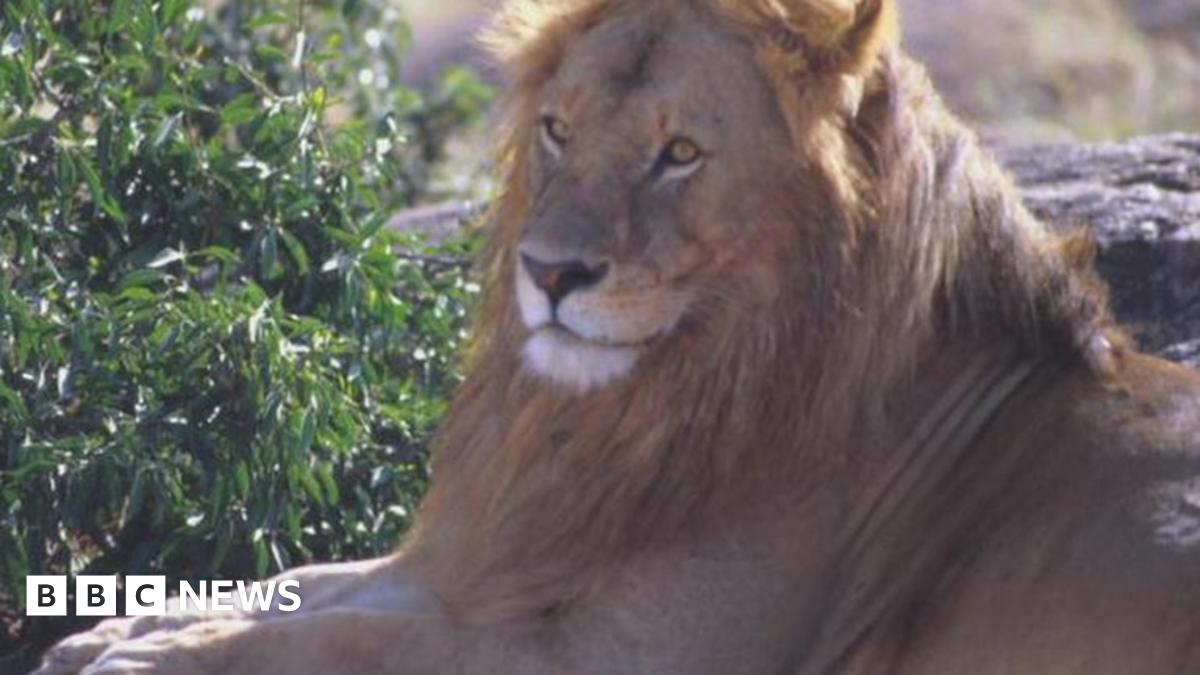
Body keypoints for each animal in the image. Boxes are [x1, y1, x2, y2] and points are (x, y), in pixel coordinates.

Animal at [36, 0, 1200, 673]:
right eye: (558, 130)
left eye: (679, 153)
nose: (550, 274)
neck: (636, 414)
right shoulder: (515, 549)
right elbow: (336, 585)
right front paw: (131, 623)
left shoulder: (637, 651)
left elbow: (368, 636)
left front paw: (148, 658)